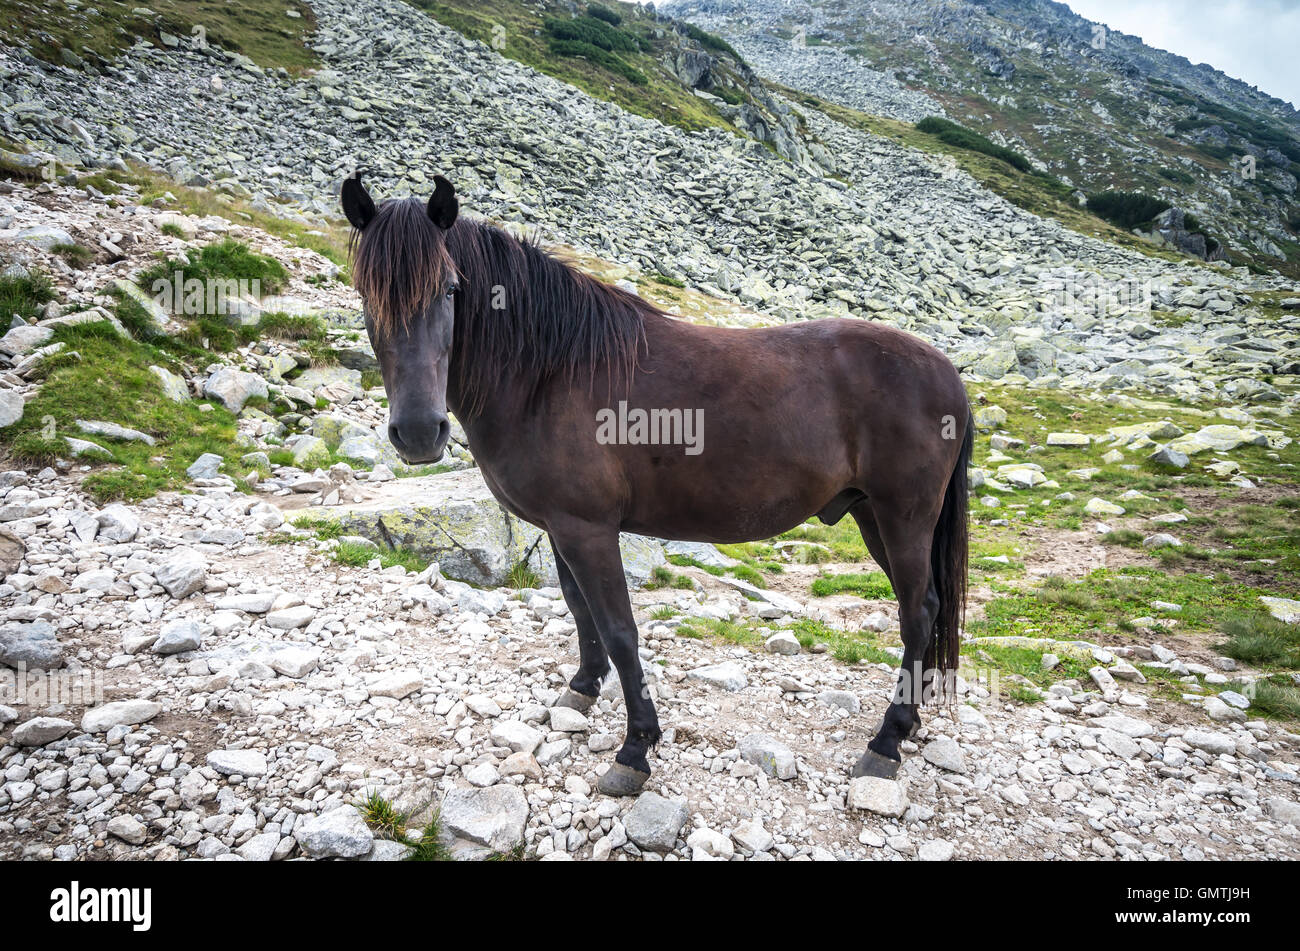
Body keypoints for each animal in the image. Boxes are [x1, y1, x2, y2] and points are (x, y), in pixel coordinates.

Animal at [342, 172, 972, 796]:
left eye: (451, 290)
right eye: (367, 295)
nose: (419, 432)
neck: (547, 373)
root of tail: (947, 374)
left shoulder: (589, 530)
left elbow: (620, 629)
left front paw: (635, 749)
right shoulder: (560, 528)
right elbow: (579, 609)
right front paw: (582, 688)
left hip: (903, 517)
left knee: (917, 612)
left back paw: (886, 741)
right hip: (871, 515)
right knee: (927, 607)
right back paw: (910, 723)